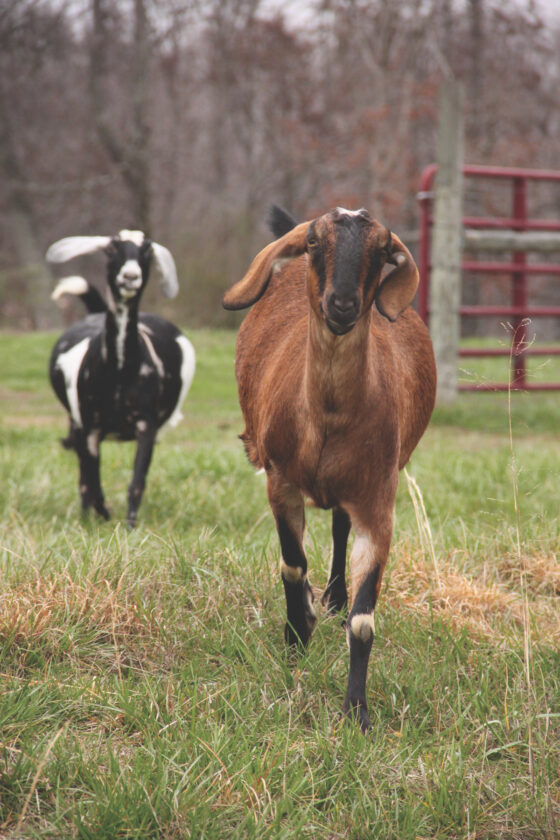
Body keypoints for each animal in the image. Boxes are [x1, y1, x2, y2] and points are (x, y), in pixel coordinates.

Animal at [48, 229, 195, 528]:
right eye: (112, 248)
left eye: (147, 250)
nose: (130, 276)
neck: (119, 371)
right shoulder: (90, 430)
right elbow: (93, 484)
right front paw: (100, 519)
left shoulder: (146, 428)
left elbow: (136, 484)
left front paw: (130, 527)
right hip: (76, 425)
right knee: (85, 480)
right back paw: (86, 517)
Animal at [223, 206, 436, 731]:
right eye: (316, 242)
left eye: (382, 251)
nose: (341, 304)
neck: (326, 419)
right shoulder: (279, 482)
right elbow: (292, 564)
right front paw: (297, 636)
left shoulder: (378, 502)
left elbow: (362, 623)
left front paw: (356, 711)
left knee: (339, 526)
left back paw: (336, 597)